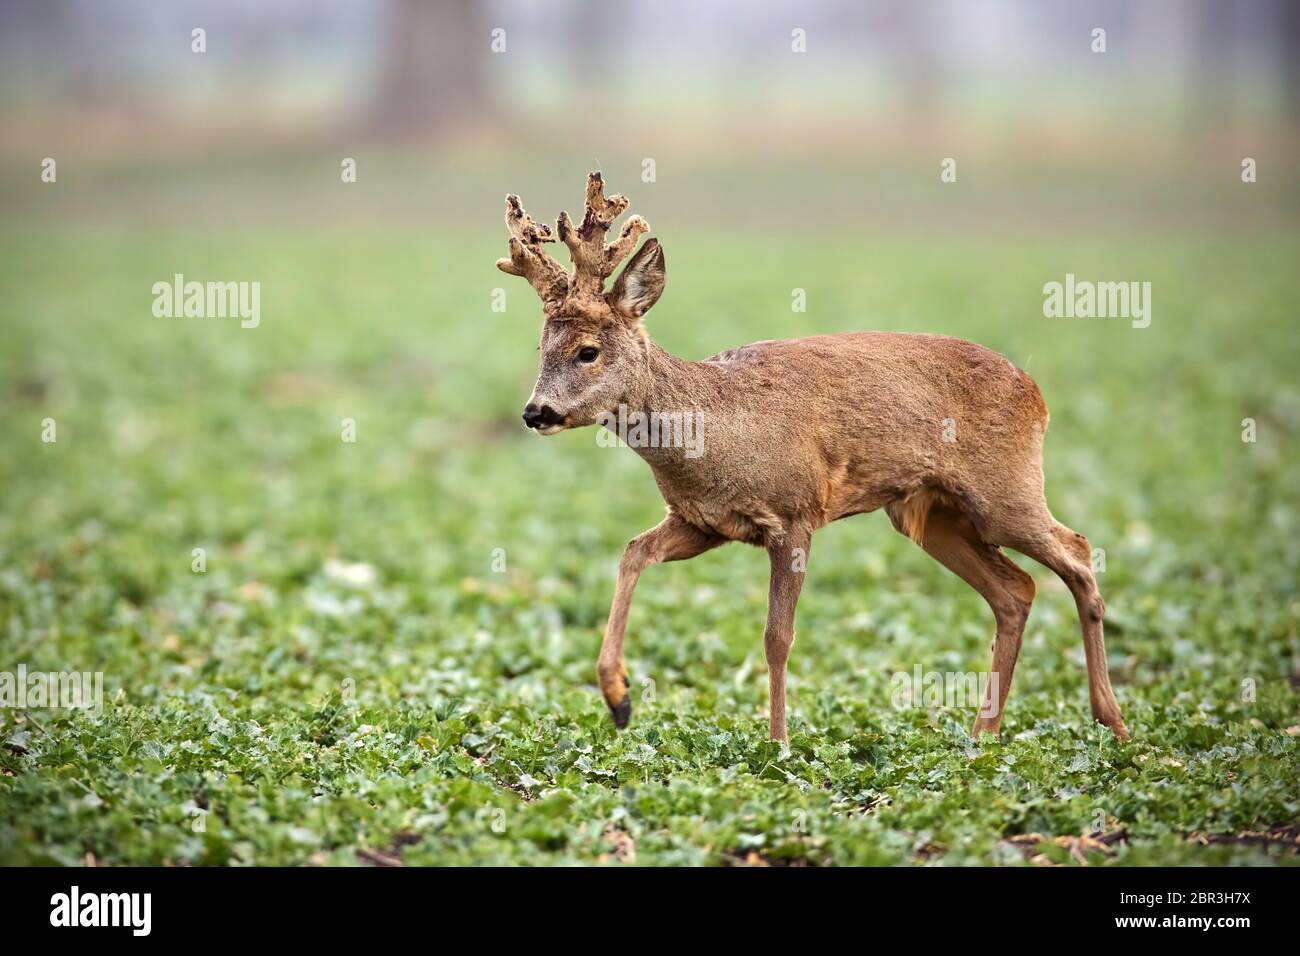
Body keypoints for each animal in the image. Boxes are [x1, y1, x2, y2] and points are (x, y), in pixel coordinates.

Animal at [499, 171, 1129, 744]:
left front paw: (778, 745)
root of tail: (1037, 392)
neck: (712, 434)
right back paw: (984, 734)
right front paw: (618, 697)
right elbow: (632, 553)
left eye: (587, 351)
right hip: (931, 515)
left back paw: (1112, 722)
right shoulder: (701, 523)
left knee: (1078, 553)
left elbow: (777, 638)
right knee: (1016, 591)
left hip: (1005, 490)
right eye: (540, 346)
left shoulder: (795, 515)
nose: (535, 412)